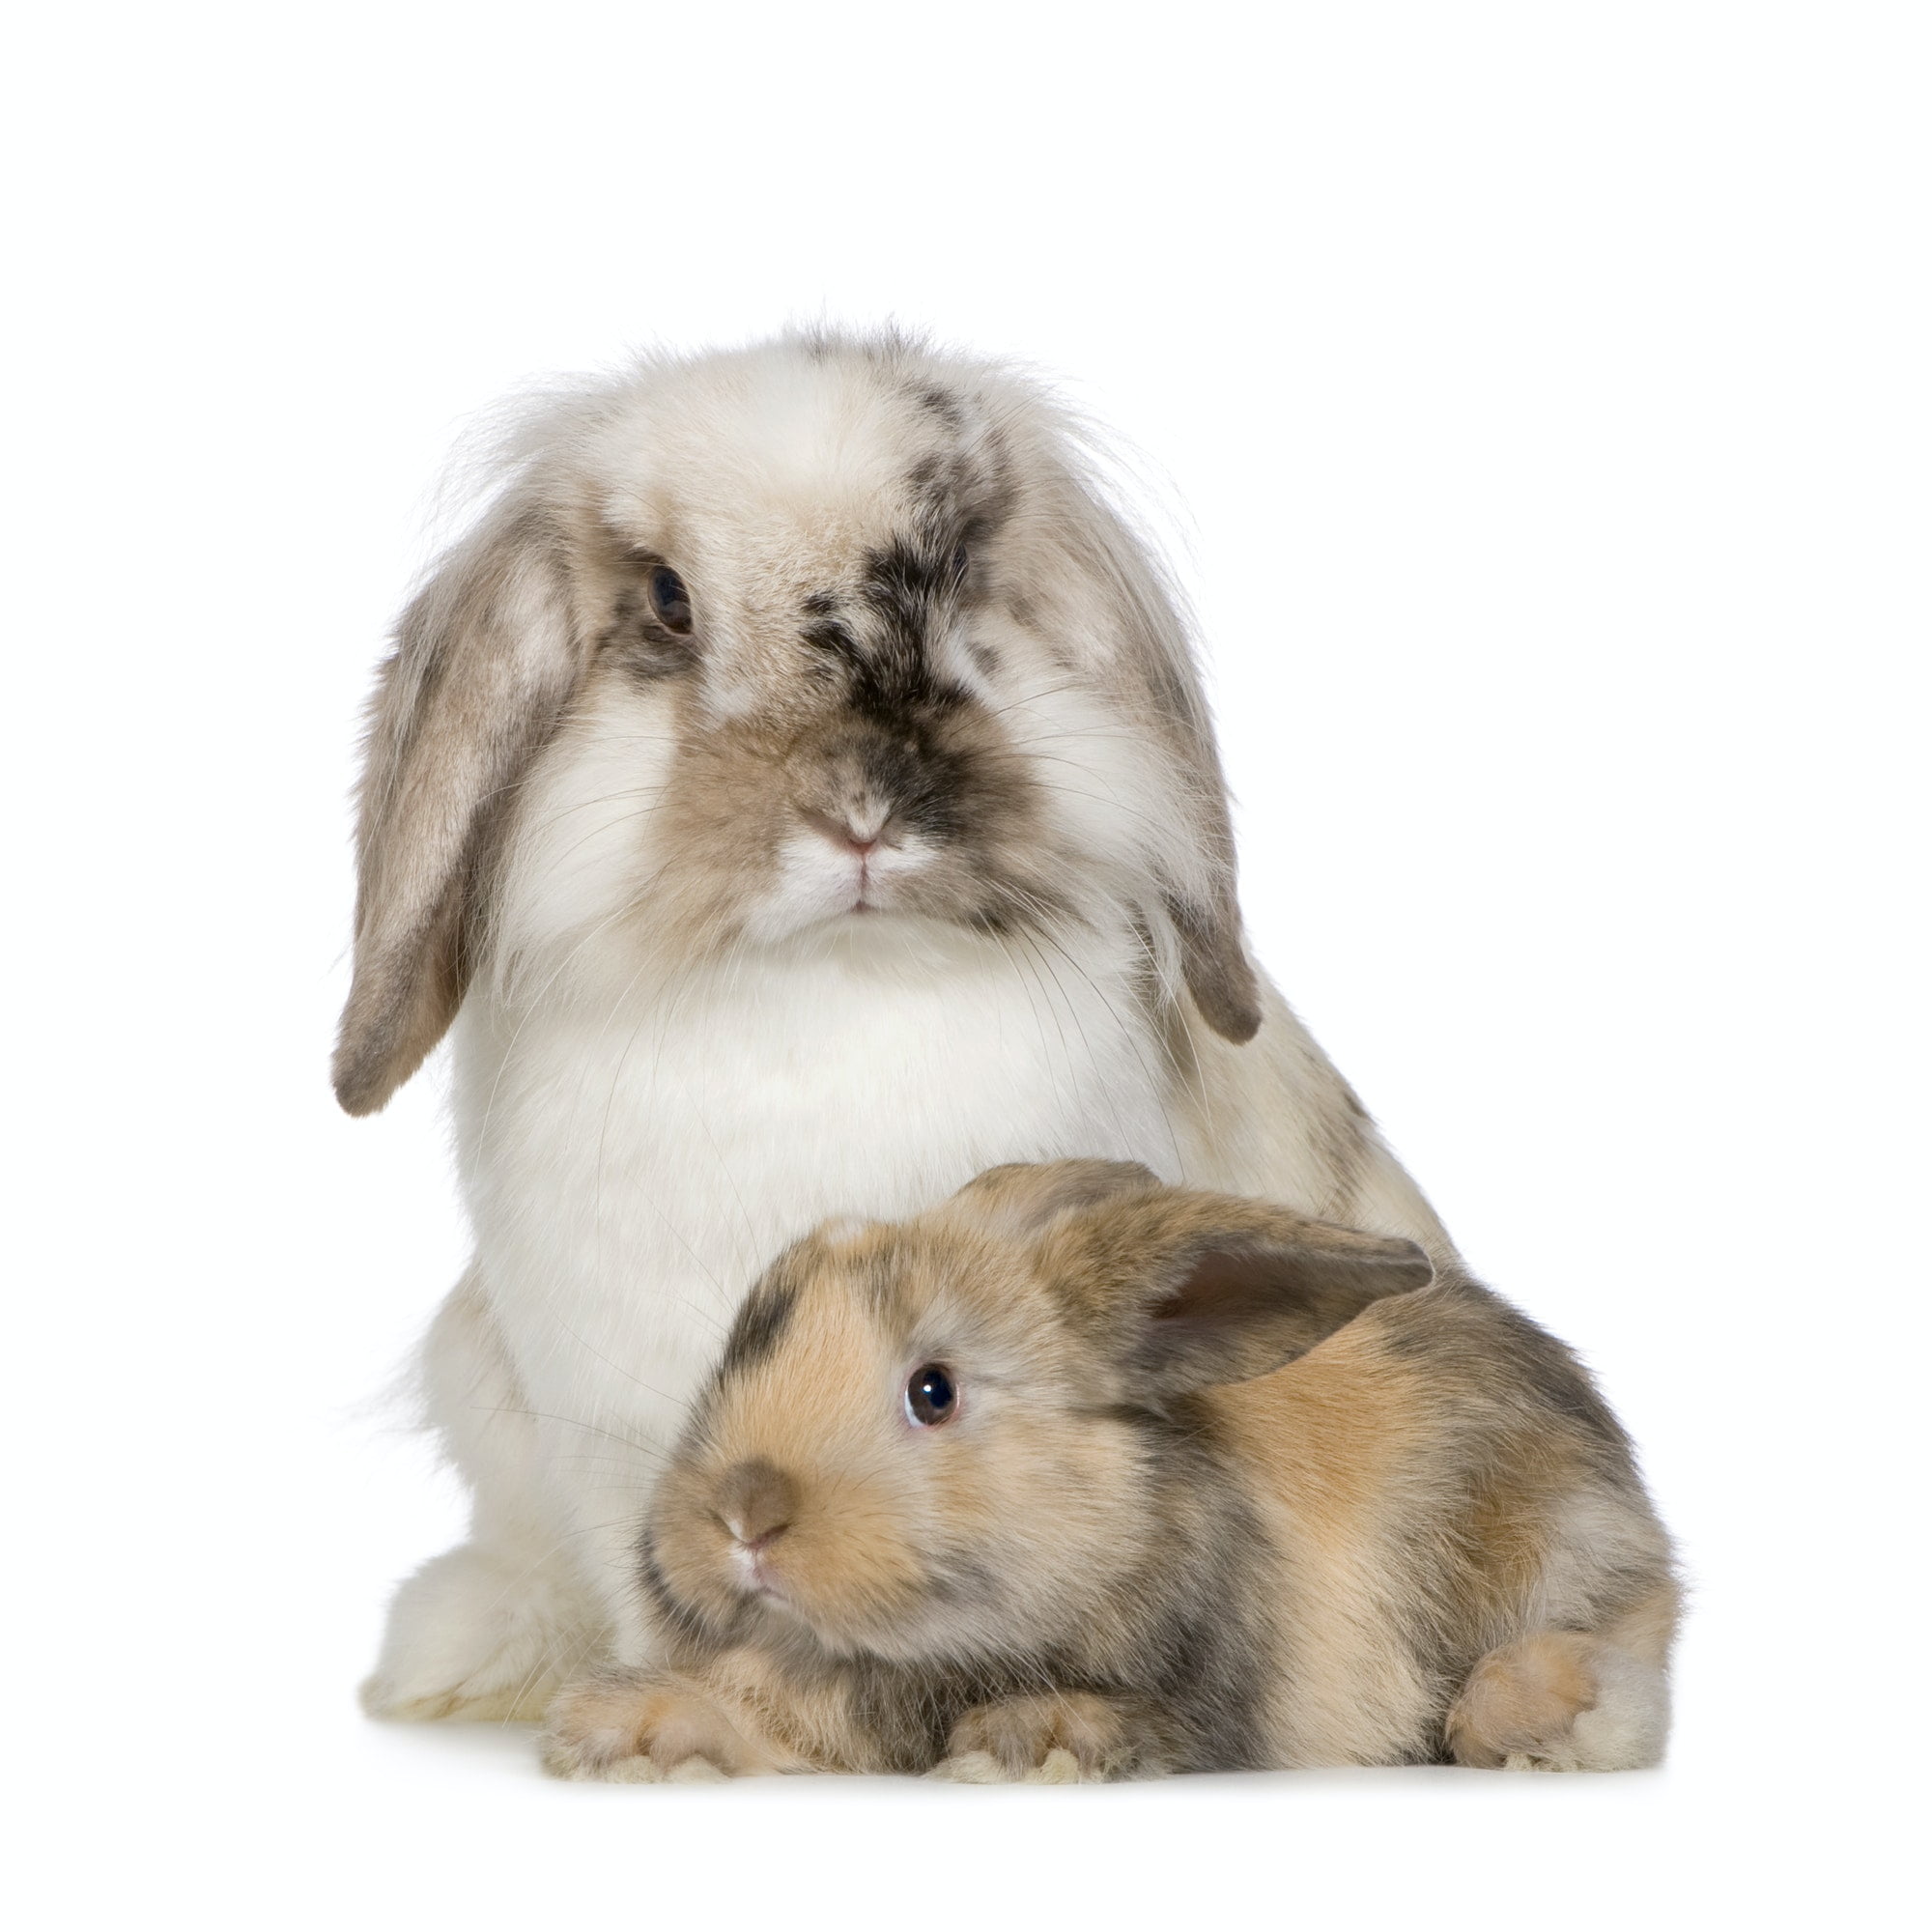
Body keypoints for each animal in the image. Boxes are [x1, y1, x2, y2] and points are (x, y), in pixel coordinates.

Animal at [539, 1161, 1678, 1781]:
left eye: (934, 1390)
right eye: (746, 1345)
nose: (742, 1517)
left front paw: (1028, 1743)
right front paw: (630, 1730)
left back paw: (1524, 1719)